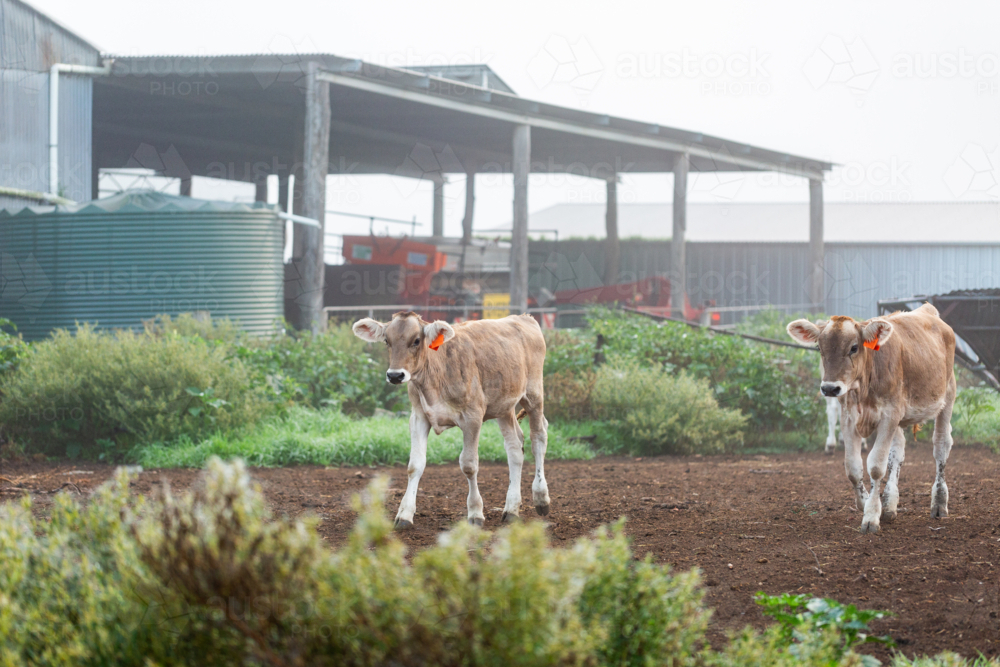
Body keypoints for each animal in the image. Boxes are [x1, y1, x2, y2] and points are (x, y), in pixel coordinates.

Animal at [352, 311, 550, 529]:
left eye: (416, 340)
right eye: (387, 340)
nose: (395, 375)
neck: (435, 377)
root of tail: (523, 317)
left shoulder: (473, 417)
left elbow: (469, 465)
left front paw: (475, 512)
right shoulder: (419, 417)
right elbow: (415, 465)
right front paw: (405, 514)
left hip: (533, 394)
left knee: (538, 438)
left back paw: (541, 498)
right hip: (503, 406)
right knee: (515, 447)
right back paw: (511, 509)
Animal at [787, 304, 957, 534]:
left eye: (854, 347)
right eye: (820, 348)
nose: (830, 388)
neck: (864, 387)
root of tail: (927, 310)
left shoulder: (889, 415)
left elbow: (876, 467)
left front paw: (871, 516)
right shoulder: (849, 418)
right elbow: (853, 468)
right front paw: (865, 502)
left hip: (947, 396)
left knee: (941, 446)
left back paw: (939, 502)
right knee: (897, 453)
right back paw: (890, 505)